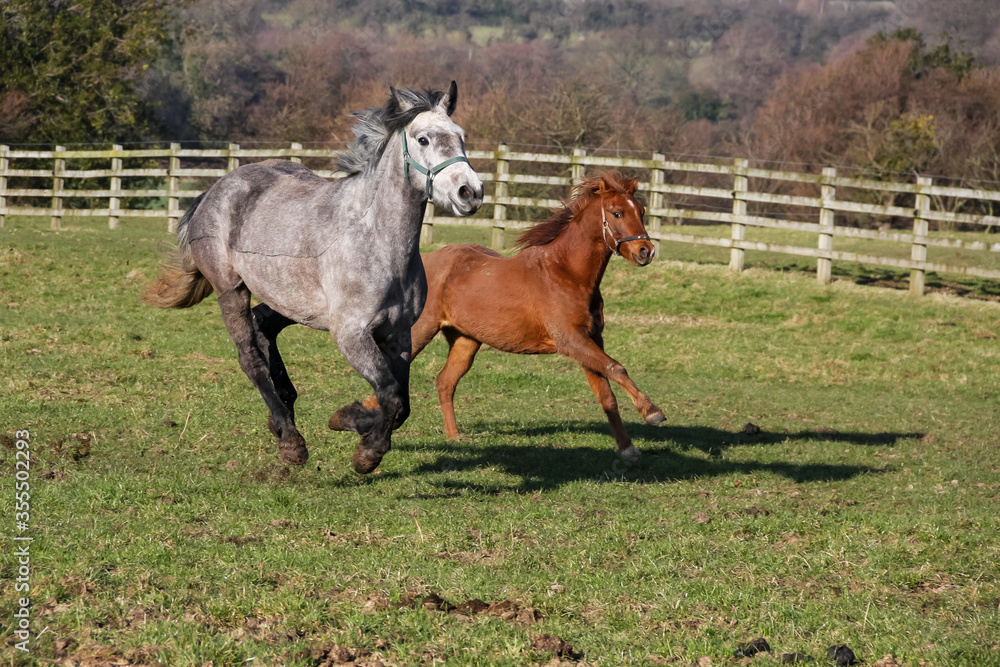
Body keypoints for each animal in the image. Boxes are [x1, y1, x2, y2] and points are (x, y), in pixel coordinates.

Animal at [143, 82, 484, 474]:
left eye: (461, 136)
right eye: (423, 139)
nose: (470, 192)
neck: (377, 240)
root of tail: (215, 191)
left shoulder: (398, 334)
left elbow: (400, 403)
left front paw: (351, 421)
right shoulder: (350, 334)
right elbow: (391, 396)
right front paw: (367, 452)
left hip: (288, 300)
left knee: (263, 326)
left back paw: (281, 415)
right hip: (232, 291)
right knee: (250, 358)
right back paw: (291, 441)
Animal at [391, 172, 663, 461]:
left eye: (641, 211)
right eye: (617, 213)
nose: (646, 251)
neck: (567, 273)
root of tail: (427, 260)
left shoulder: (591, 340)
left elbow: (607, 396)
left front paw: (628, 449)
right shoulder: (572, 341)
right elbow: (616, 368)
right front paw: (652, 412)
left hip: (466, 340)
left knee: (445, 382)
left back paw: (455, 438)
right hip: (421, 330)